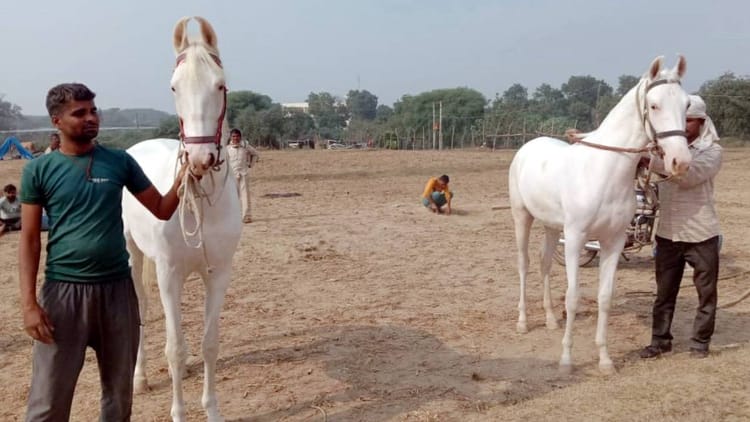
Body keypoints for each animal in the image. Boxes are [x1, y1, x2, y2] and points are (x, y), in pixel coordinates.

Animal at [122, 17, 241, 421]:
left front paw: (213, 410)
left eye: (220, 84)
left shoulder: (217, 273)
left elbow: (208, 344)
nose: (200, 159)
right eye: (174, 87)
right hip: (134, 255)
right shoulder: (168, 273)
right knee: (141, 308)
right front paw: (178, 412)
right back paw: (140, 377)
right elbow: (175, 348)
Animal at [508, 56, 692, 374]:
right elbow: (572, 297)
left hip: (552, 227)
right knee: (524, 265)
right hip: (523, 217)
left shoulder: (613, 241)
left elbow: (605, 298)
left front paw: (605, 360)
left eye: (686, 105)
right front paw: (566, 360)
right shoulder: (576, 239)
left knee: (544, 265)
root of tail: (527, 147)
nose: (680, 162)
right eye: (654, 105)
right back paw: (523, 322)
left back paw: (550, 320)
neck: (604, 170)